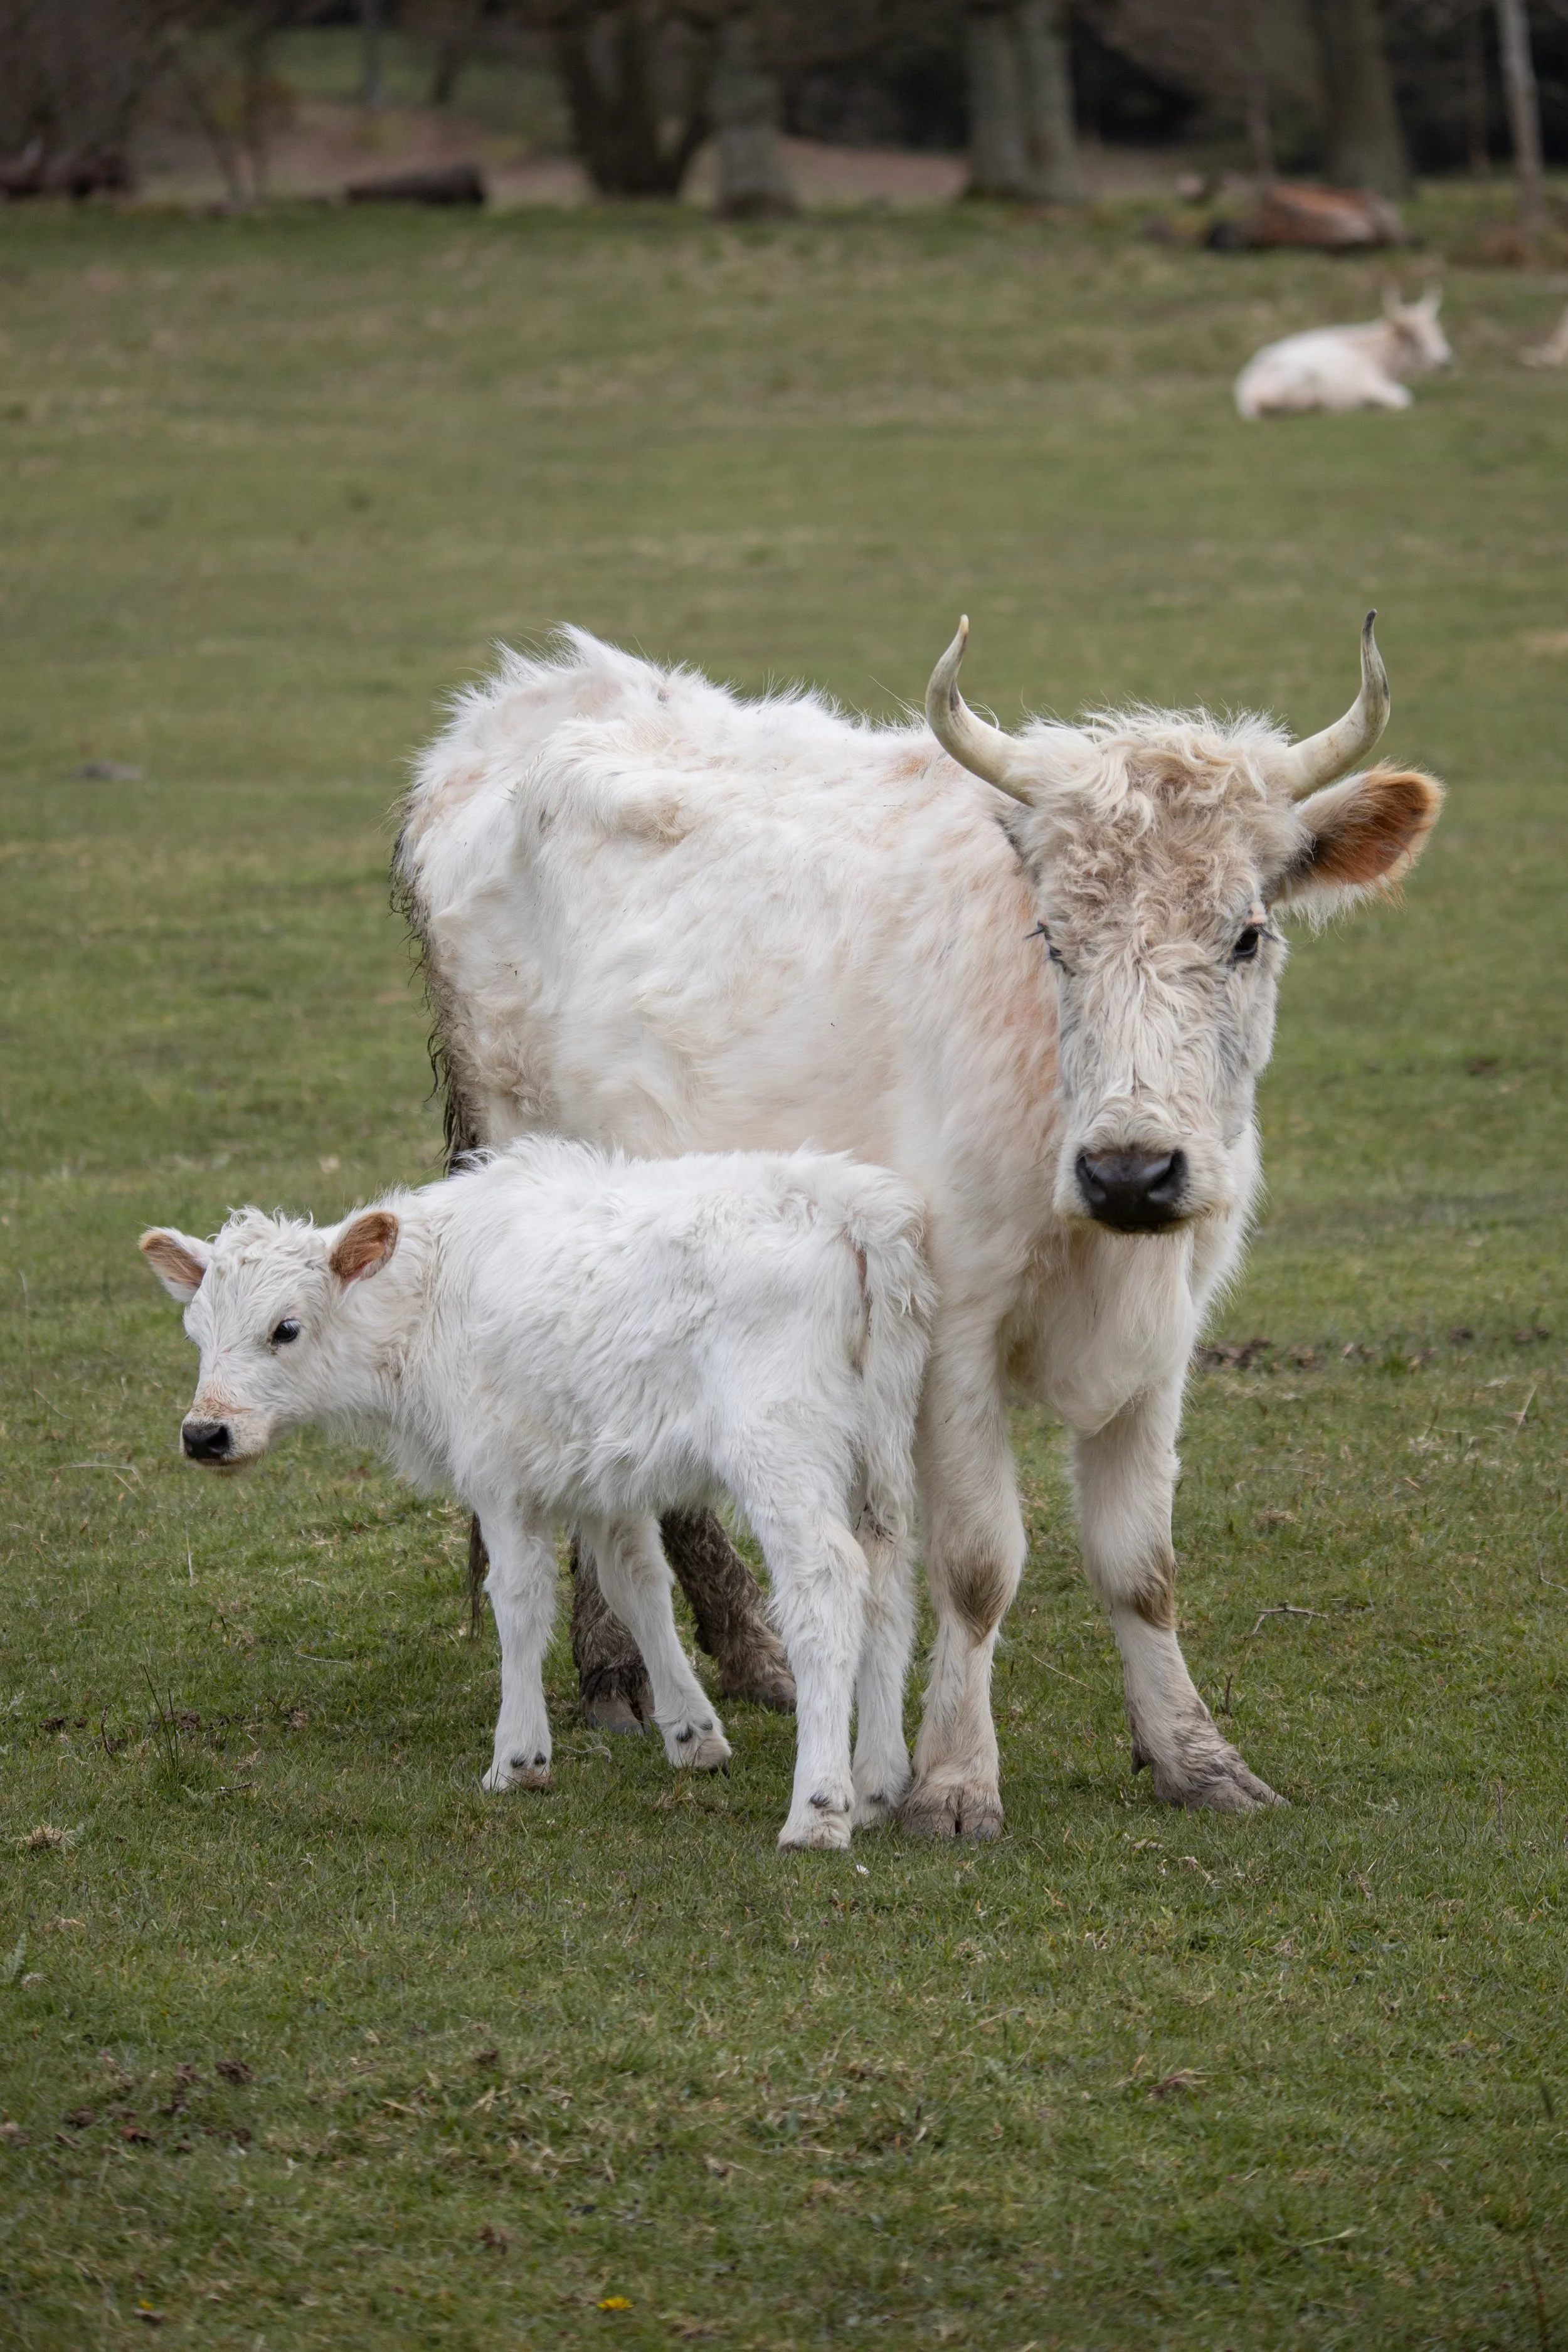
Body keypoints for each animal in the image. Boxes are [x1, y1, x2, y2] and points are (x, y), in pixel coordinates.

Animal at [139, 1139, 933, 1850]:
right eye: (196, 1333)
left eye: (286, 1329)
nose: (205, 1433)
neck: (429, 1299)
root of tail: (842, 1199)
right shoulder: (602, 1479)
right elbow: (636, 1585)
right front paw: (692, 1734)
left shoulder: (500, 1477)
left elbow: (518, 1599)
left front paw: (518, 1760)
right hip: (884, 1452)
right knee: (889, 1583)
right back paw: (878, 1787)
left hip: (781, 1449)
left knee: (828, 1585)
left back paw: (820, 1809)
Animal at [394, 613, 1443, 1836]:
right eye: (1053, 935)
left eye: (1246, 934)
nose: (1131, 1174)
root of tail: (517, 706)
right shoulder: (952, 1332)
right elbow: (980, 1562)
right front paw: (951, 1779)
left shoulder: (1166, 1329)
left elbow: (1141, 1563)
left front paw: (1196, 1755)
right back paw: (631, 1673)